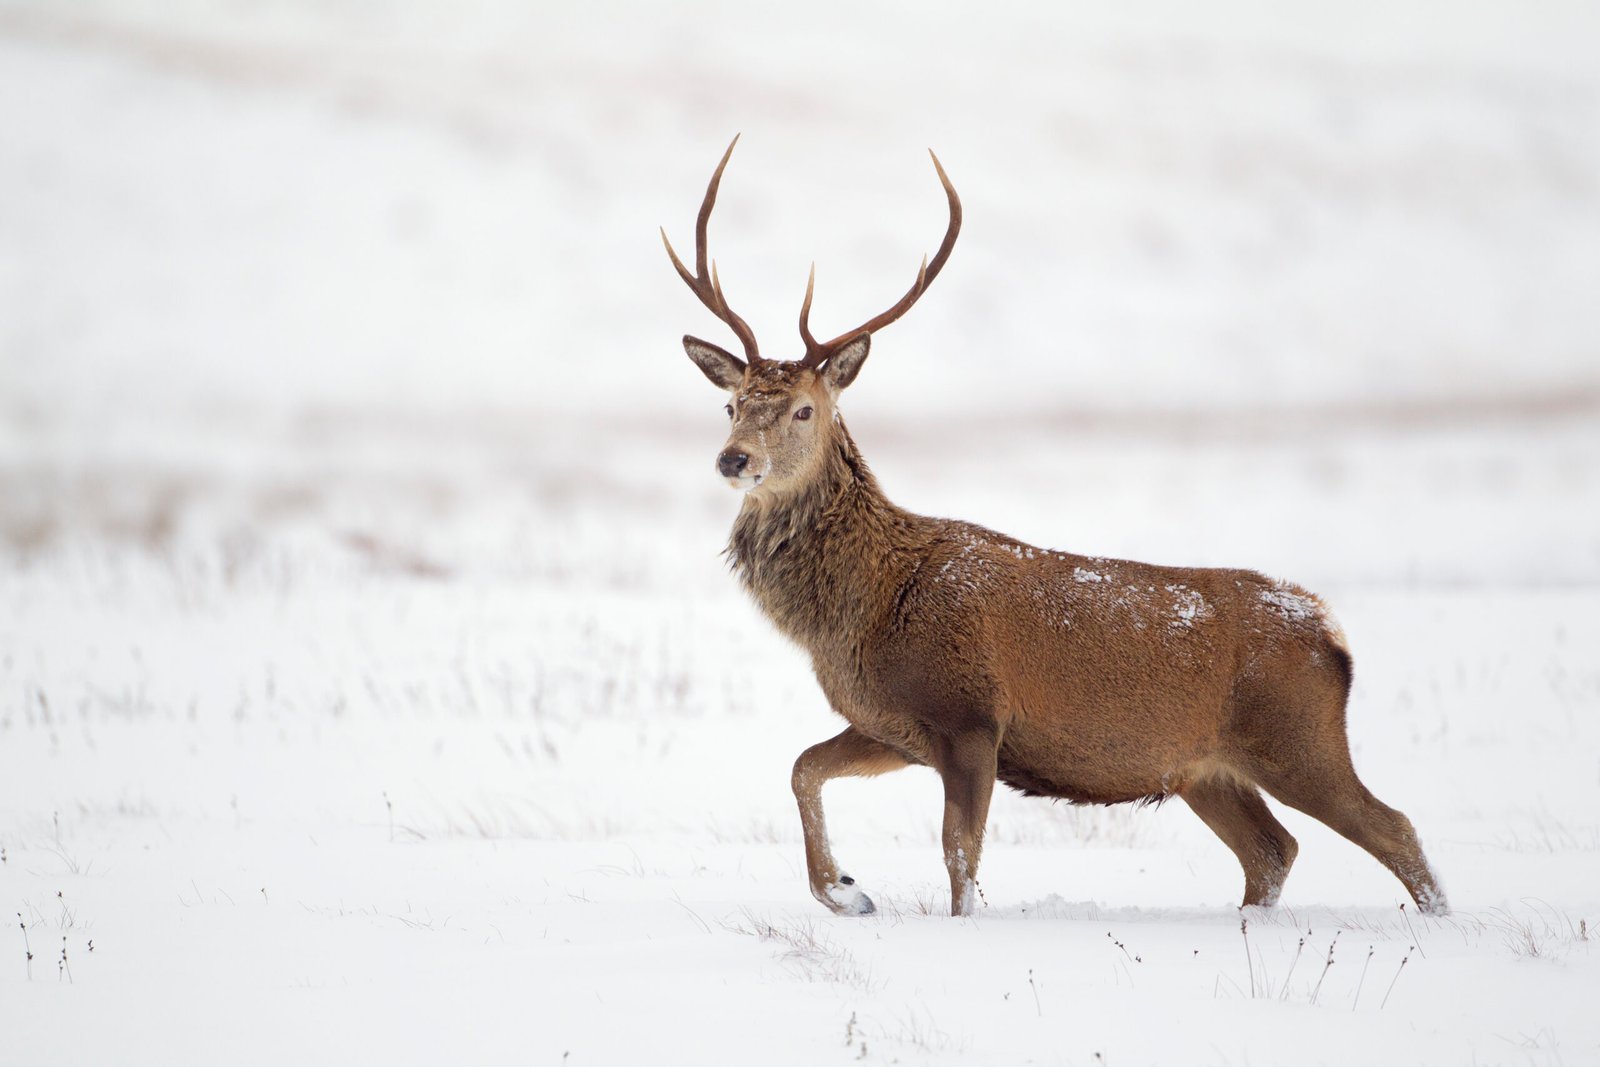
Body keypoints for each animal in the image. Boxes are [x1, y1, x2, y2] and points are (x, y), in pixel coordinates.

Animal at [662, 136, 1448, 919]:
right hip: (1207, 770)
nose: (734, 458)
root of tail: (1331, 633)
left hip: (1299, 736)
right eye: (732, 404)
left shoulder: (970, 713)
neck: (863, 608)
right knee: (1274, 850)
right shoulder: (894, 724)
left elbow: (959, 855)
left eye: (803, 409)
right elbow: (802, 767)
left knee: (1396, 828)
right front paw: (847, 893)